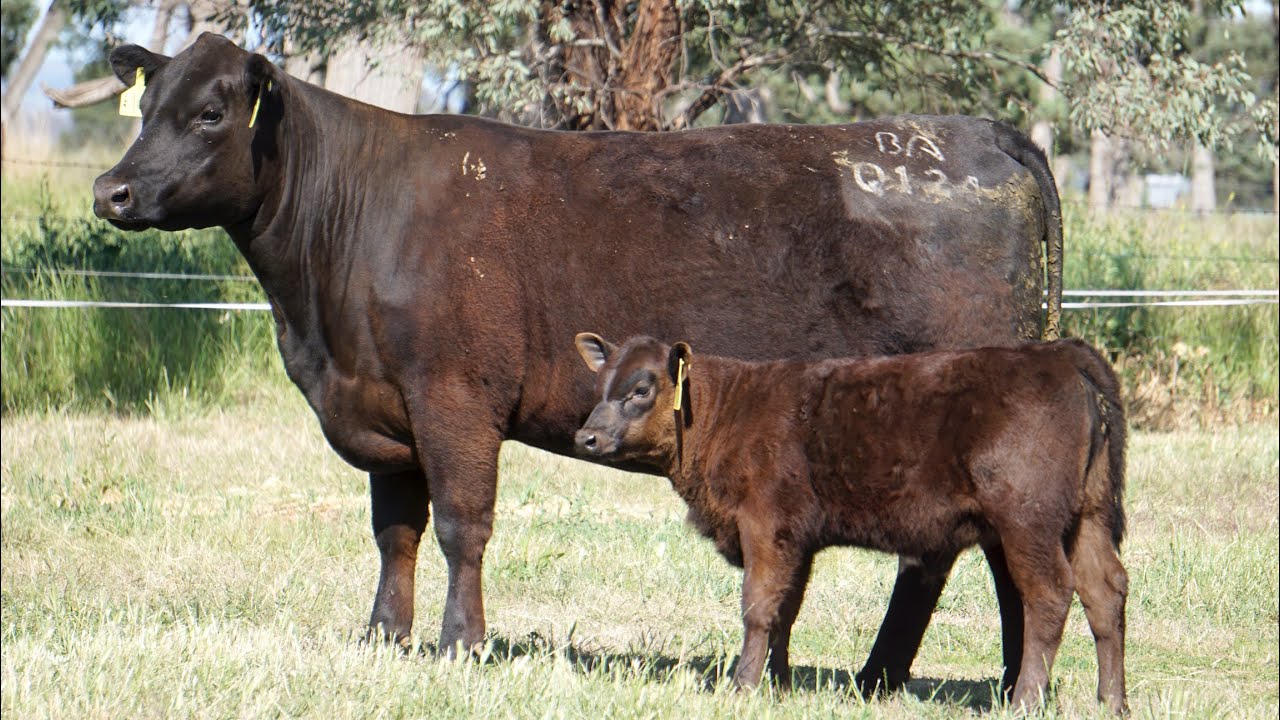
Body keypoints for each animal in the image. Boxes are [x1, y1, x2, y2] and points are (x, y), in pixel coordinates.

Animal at [91, 33, 1065, 696]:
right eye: (147, 106)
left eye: (210, 113)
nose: (112, 190)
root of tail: (979, 132)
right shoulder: (384, 406)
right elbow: (395, 532)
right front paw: (384, 638)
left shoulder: (454, 397)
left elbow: (462, 524)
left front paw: (462, 644)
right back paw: (919, 680)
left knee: (964, 558)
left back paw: (951, 681)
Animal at [573, 333, 1128, 713]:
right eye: (599, 387)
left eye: (641, 389)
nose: (586, 438)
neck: (724, 413)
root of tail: (1060, 354)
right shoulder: (797, 538)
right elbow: (785, 610)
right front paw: (778, 686)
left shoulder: (764, 524)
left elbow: (758, 607)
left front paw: (743, 687)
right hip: (1088, 517)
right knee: (1106, 591)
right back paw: (1112, 701)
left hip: (1028, 522)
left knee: (1050, 595)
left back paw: (1026, 701)